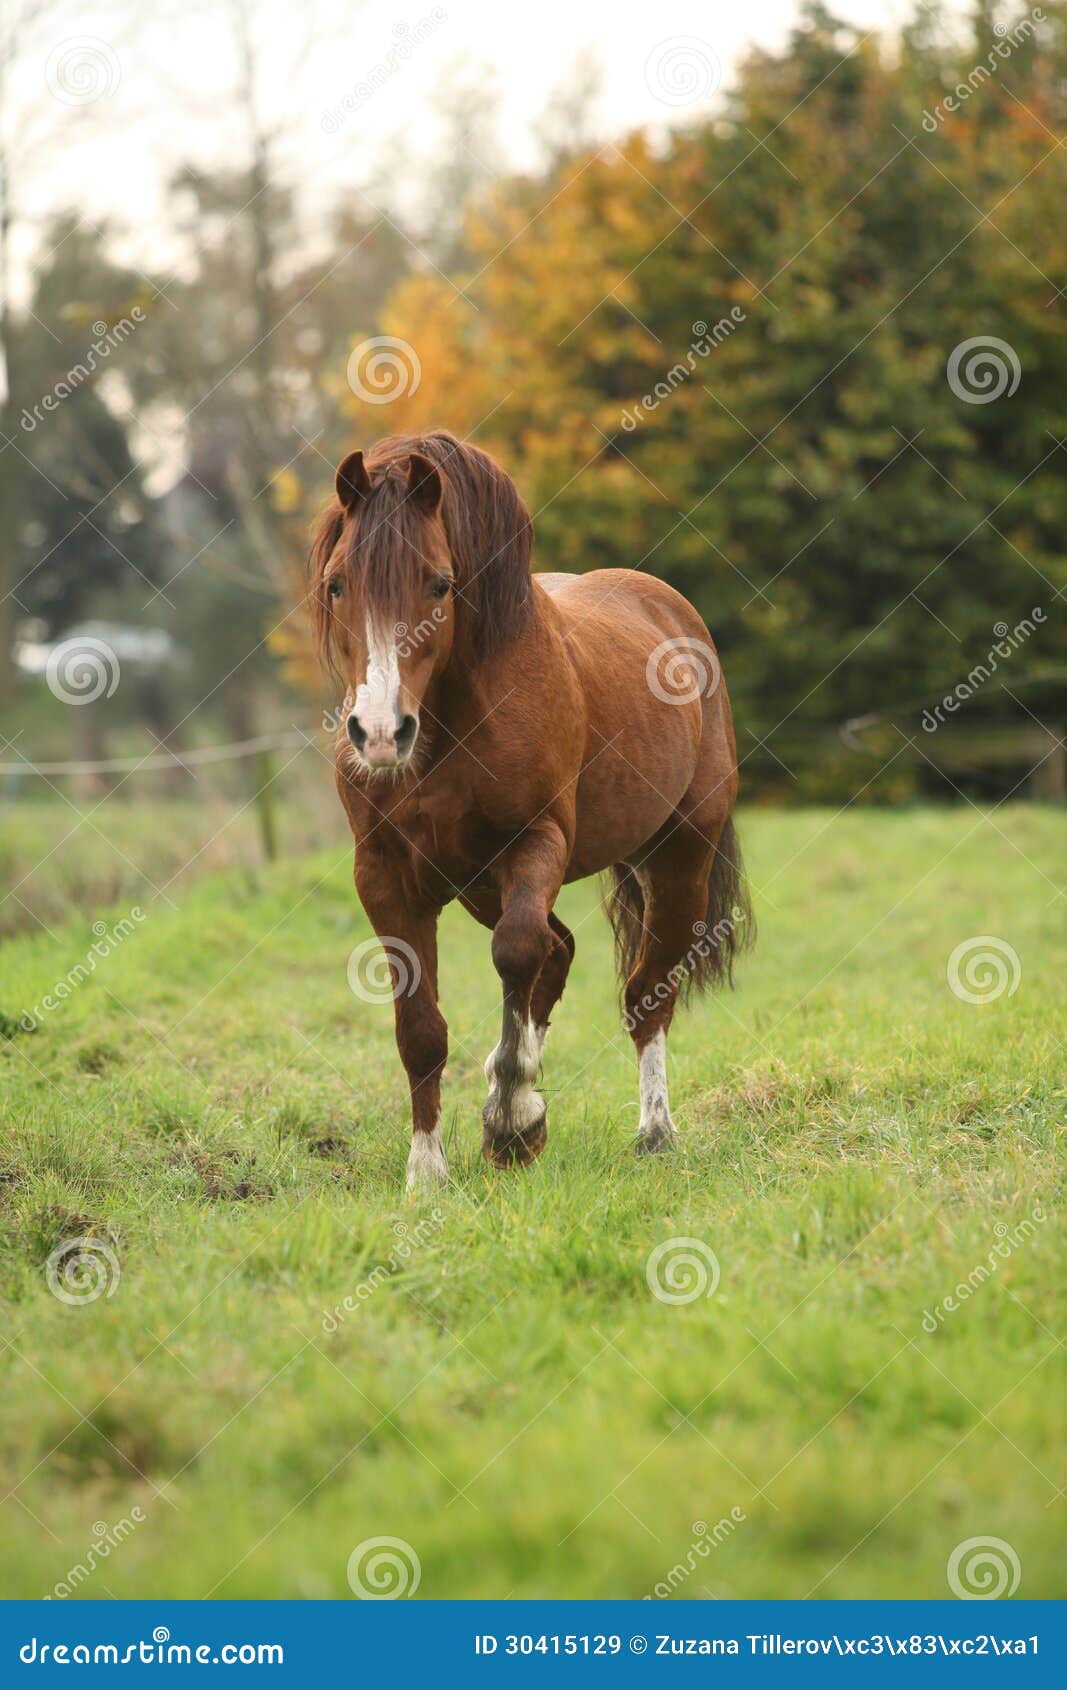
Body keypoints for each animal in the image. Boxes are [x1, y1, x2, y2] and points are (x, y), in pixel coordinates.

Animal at [309, 430, 753, 1189]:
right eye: (338, 583)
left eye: (440, 583)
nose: (379, 733)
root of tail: (668, 608)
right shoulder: (386, 876)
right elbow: (420, 1030)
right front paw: (428, 1169)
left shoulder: (536, 841)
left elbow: (516, 952)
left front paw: (511, 1122)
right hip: (480, 885)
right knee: (561, 950)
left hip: (678, 859)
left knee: (644, 989)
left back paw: (654, 1132)